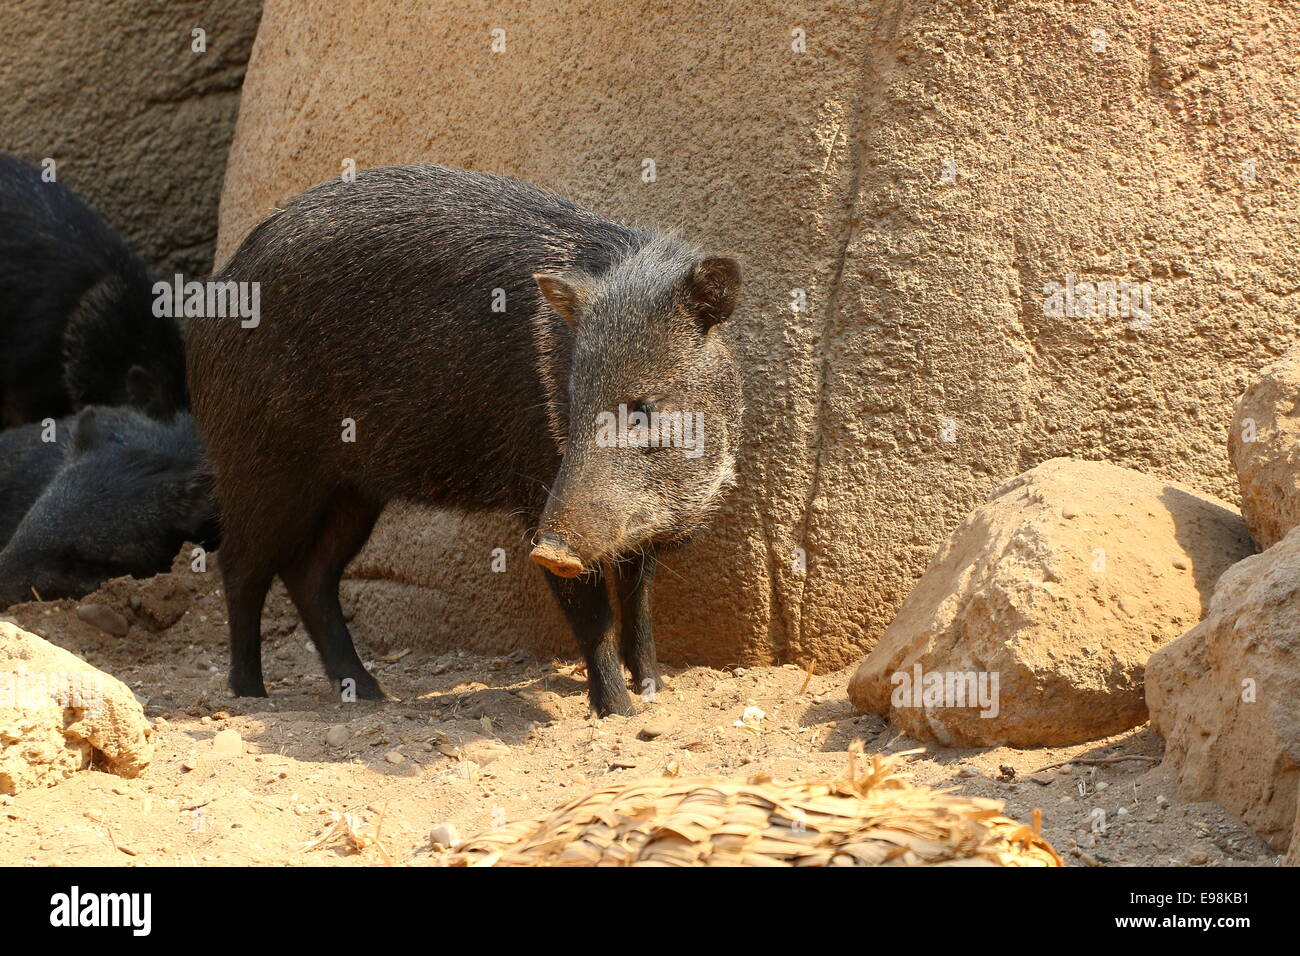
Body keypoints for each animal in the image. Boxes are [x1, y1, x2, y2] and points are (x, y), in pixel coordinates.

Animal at [187, 164, 743, 716]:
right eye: (573, 398)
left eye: (644, 408)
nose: (551, 550)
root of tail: (219, 288)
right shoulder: (537, 491)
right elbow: (594, 619)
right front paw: (618, 713)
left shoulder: (632, 527)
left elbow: (638, 604)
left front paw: (654, 689)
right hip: (265, 467)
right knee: (241, 566)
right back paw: (250, 693)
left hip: (353, 489)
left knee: (310, 575)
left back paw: (369, 693)